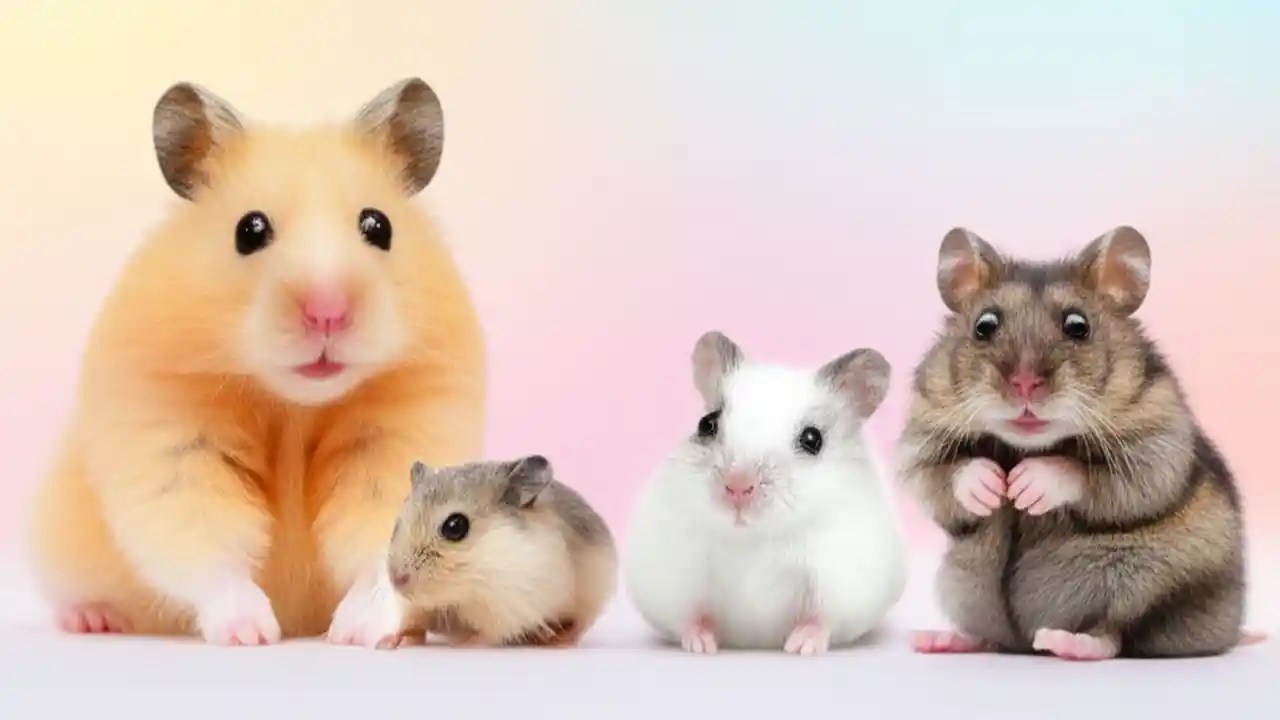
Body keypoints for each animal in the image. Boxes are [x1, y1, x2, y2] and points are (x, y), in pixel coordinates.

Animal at [26, 78, 485, 646]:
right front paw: (253, 633)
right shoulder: (172, 443)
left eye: (378, 226)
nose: (328, 311)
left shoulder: (400, 435)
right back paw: (92, 619)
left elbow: (378, 546)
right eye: (249, 230)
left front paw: (355, 634)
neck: (294, 404)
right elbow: (207, 546)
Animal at [383, 456, 618, 647]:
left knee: (580, 625)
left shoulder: (507, 606)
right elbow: (412, 624)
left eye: (455, 526)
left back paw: (556, 641)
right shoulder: (416, 607)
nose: (397, 580)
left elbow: (487, 633)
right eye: (397, 523)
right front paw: (389, 643)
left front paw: (463, 645)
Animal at [624, 331, 907, 655]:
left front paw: (800, 646)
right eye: (707, 423)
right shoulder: (674, 579)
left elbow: (823, 620)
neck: (754, 537)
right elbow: (689, 618)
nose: (737, 487)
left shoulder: (842, 584)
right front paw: (701, 646)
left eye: (813, 439)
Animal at [898, 226, 1249, 660]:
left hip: (1149, 581)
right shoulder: (922, 430)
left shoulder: (1158, 441)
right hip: (961, 584)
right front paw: (993, 486)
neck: (1027, 443)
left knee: (1115, 633)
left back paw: (1065, 642)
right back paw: (937, 639)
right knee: (988, 636)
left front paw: (1024, 485)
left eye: (1077, 326)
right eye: (984, 325)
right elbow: (933, 472)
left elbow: (1092, 473)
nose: (1024, 384)